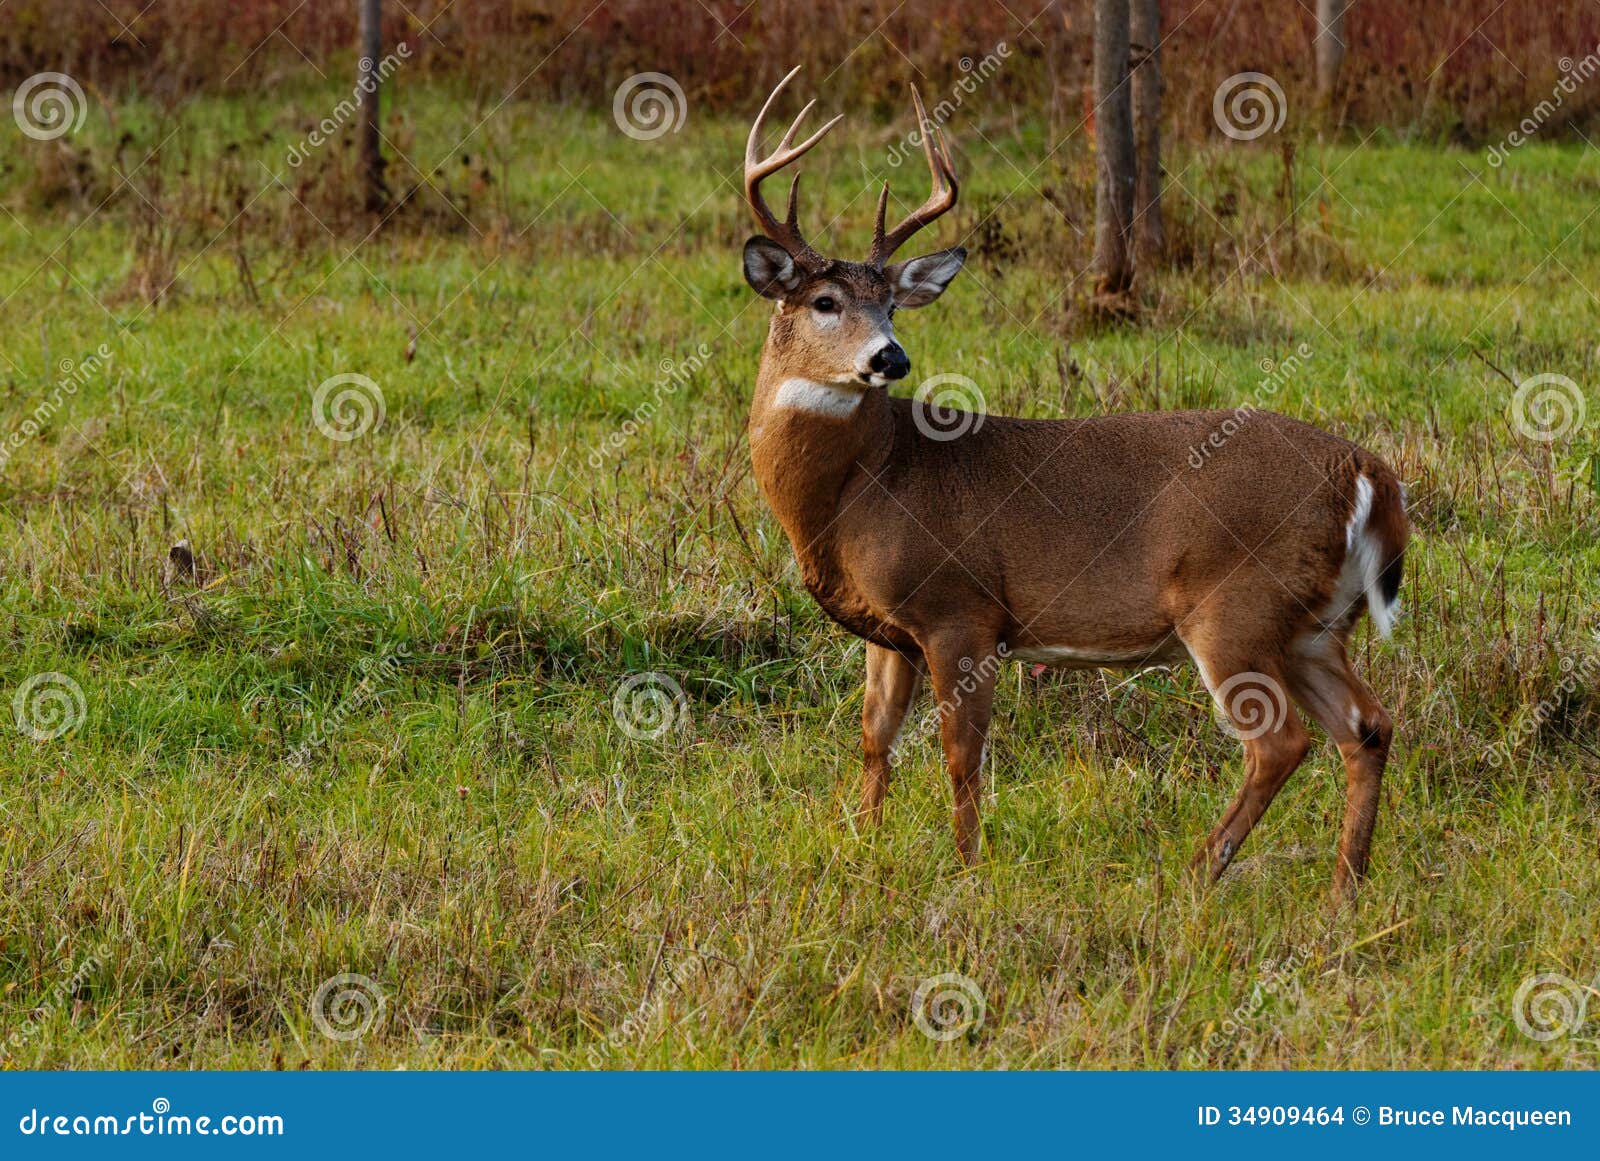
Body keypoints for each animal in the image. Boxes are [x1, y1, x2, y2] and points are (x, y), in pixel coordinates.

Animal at [739, 67, 1408, 898]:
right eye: (826, 301)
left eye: (891, 304)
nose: (889, 357)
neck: (863, 488)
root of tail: (1367, 472)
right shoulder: (890, 632)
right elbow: (874, 738)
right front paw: (863, 845)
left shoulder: (962, 609)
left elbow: (961, 754)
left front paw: (968, 867)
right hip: (1314, 625)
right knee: (1367, 725)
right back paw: (1345, 887)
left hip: (1236, 607)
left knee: (1282, 741)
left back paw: (1196, 873)